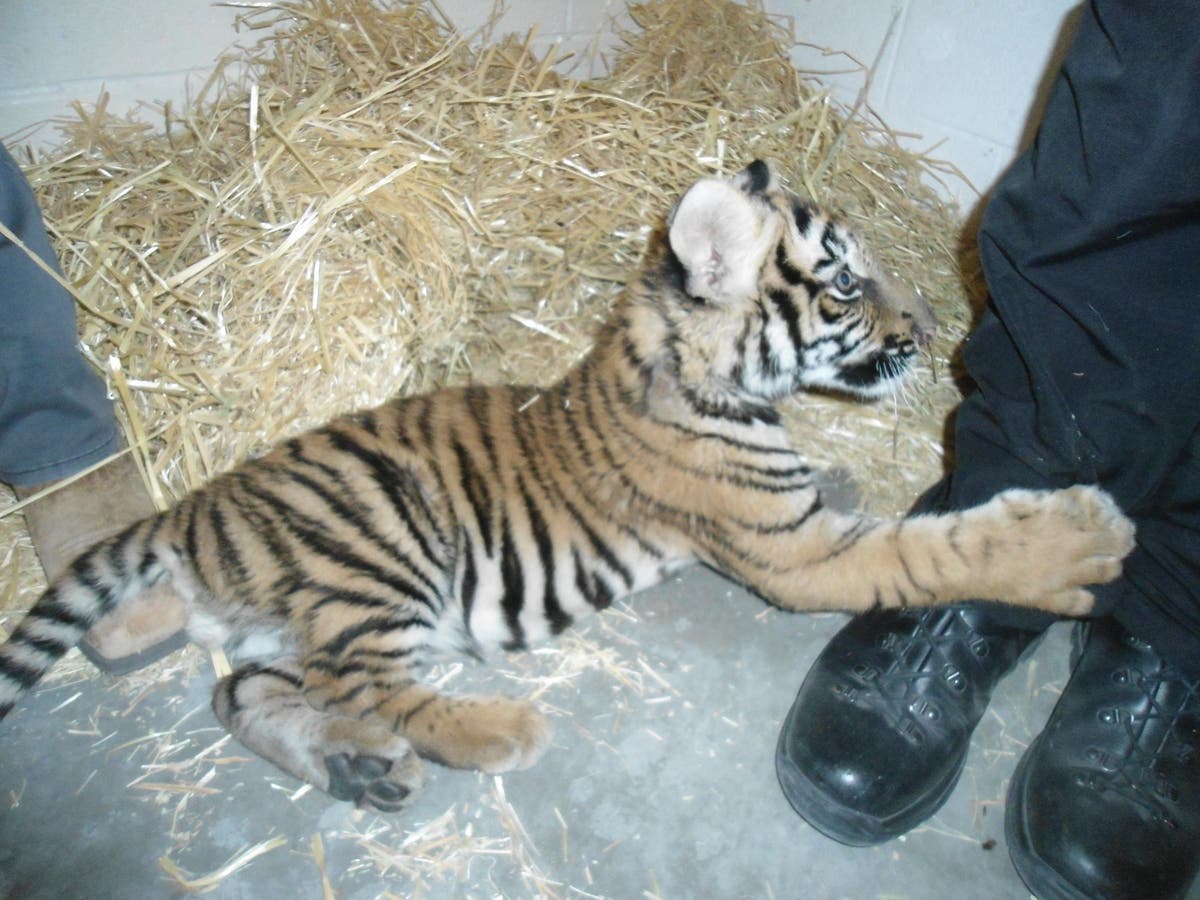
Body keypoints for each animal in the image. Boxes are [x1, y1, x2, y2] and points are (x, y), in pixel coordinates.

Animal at [0, 160, 1135, 813]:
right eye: (848, 283)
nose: (933, 332)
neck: (691, 358)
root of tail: (193, 508)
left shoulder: (797, 520)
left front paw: (851, 472)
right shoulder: (794, 554)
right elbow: (939, 548)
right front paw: (1080, 539)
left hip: (300, 625)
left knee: (246, 691)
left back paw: (357, 768)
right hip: (383, 553)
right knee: (369, 686)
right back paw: (497, 731)